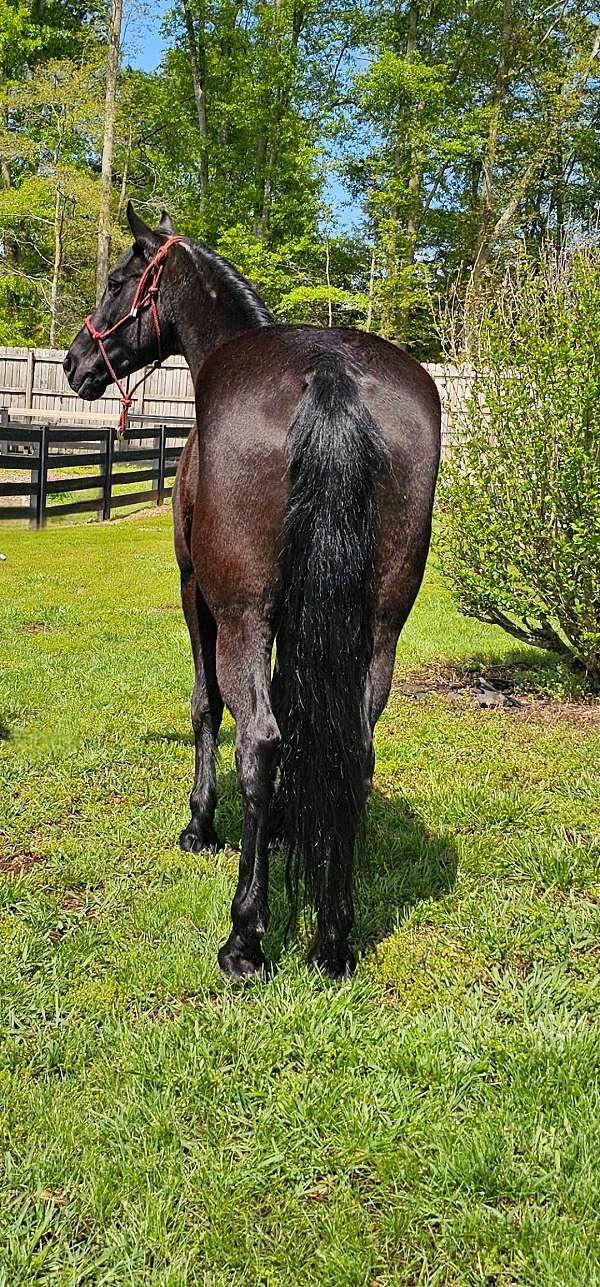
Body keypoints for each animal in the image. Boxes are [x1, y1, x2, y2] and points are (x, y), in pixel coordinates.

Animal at [64, 202, 441, 981]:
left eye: (118, 282)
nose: (74, 363)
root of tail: (331, 372)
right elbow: (302, 712)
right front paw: (292, 830)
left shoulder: (196, 591)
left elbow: (208, 706)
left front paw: (201, 824)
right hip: (379, 626)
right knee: (355, 746)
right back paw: (333, 937)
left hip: (237, 614)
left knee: (258, 739)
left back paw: (244, 937)